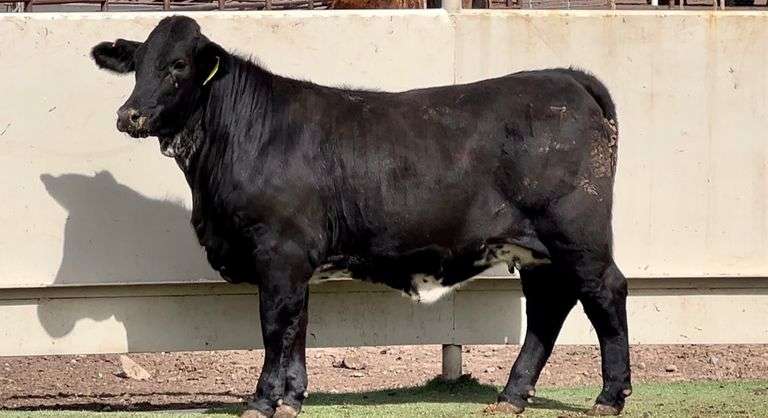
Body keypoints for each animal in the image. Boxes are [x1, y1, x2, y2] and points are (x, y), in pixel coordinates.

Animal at [91, 15, 629, 418]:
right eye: (138, 65)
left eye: (178, 65)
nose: (129, 115)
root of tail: (565, 76)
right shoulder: (296, 261)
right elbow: (297, 326)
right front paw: (292, 397)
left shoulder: (279, 252)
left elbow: (275, 325)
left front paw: (263, 401)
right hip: (538, 247)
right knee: (547, 306)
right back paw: (511, 396)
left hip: (578, 233)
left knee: (604, 292)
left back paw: (610, 396)